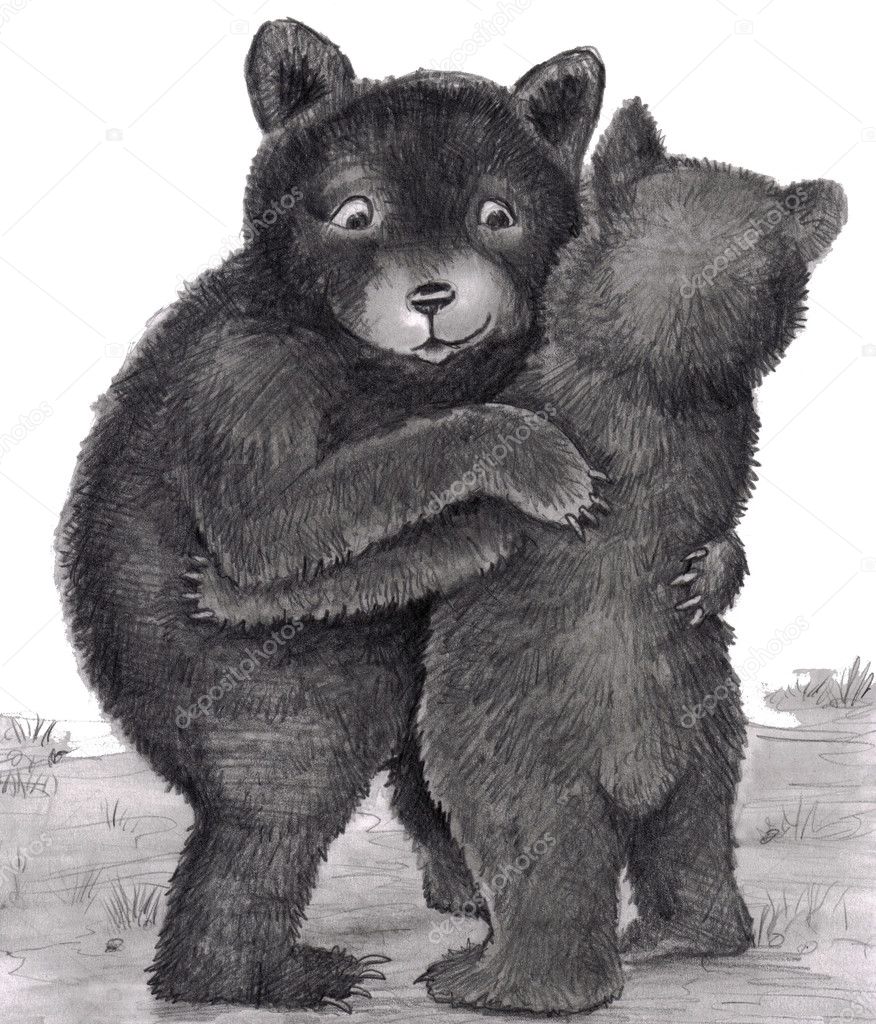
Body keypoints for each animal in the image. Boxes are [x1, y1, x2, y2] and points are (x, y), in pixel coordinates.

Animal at [54, 18, 608, 1012]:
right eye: (356, 213)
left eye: (498, 215)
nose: (432, 298)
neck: (392, 372)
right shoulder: (248, 376)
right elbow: (272, 529)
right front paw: (533, 465)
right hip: (265, 694)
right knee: (276, 815)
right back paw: (270, 975)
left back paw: (464, 888)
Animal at [193, 98, 847, 1014]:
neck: (652, 372)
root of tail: (637, 754)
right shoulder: (719, 434)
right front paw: (717, 568)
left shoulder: (537, 434)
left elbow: (418, 543)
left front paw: (226, 587)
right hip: (708, 724)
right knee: (691, 832)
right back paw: (684, 934)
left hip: (506, 742)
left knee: (533, 841)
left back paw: (496, 979)